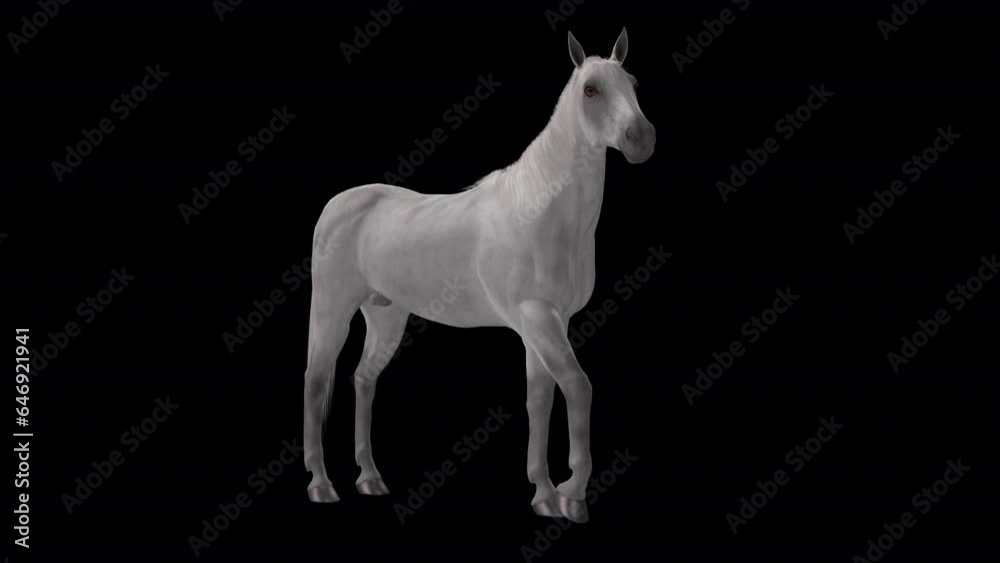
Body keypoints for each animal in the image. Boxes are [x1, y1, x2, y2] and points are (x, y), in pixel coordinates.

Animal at [303, 28, 655, 523]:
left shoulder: (548, 323)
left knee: (363, 379)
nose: (641, 138)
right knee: (316, 382)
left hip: (385, 315)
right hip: (332, 311)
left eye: (634, 84)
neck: (542, 211)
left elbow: (539, 398)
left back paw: (370, 478)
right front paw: (573, 494)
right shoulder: (537, 316)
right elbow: (577, 387)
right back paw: (321, 485)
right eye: (591, 90)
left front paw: (544, 493)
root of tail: (337, 204)